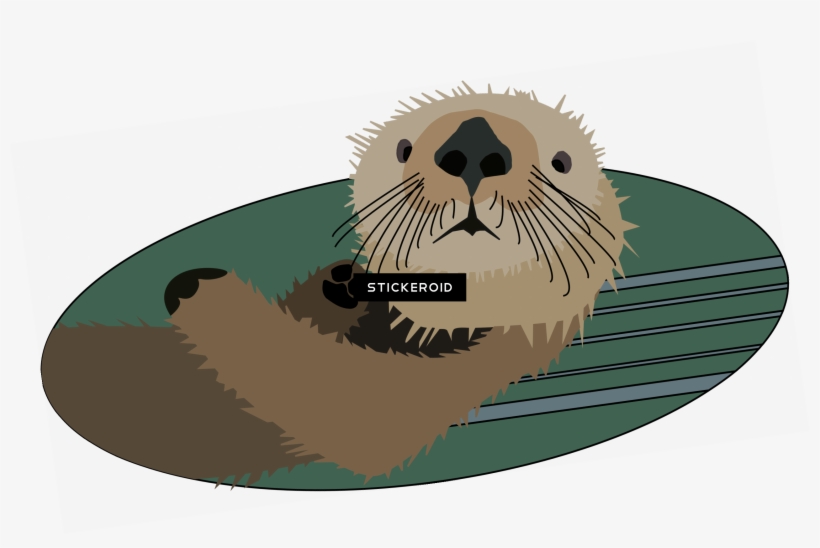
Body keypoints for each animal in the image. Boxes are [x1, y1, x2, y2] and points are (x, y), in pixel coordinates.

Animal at [43, 82, 636, 485]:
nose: (473, 146)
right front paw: (342, 283)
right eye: (403, 147)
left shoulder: (466, 367)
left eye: (562, 161)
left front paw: (197, 286)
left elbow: (342, 404)